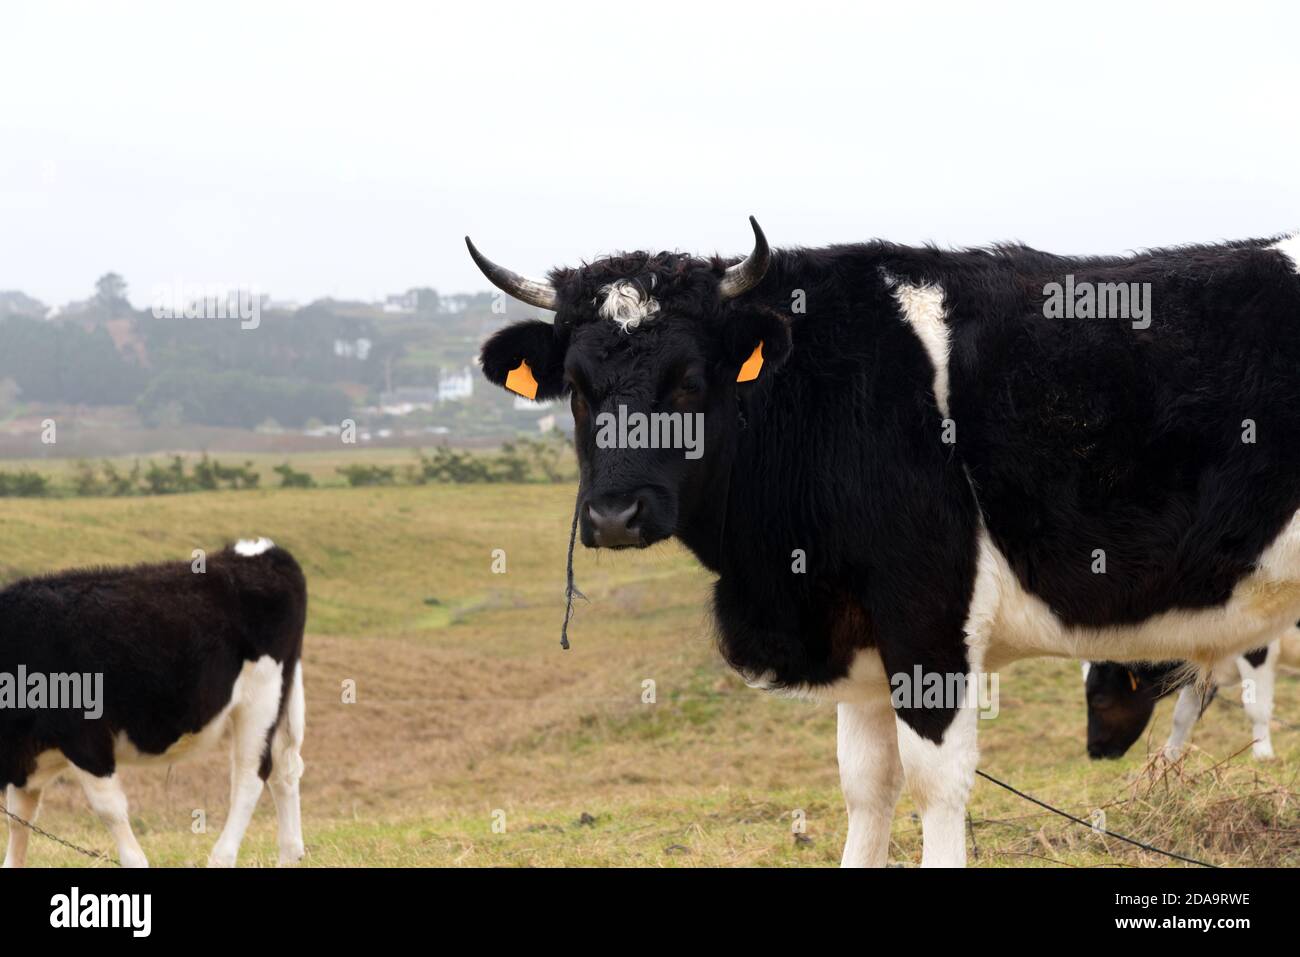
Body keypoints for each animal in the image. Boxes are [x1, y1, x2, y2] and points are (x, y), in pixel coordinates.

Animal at [1, 539, 306, 868]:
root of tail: (262, 551)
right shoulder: (26, 761)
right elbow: (19, 818)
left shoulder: (85, 738)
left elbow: (109, 808)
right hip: (281, 699)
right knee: (284, 768)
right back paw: (290, 855)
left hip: (261, 697)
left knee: (250, 776)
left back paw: (222, 857)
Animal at [1082, 638, 1281, 760]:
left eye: (1099, 699)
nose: (1093, 750)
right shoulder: (1202, 672)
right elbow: (1182, 715)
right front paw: (1168, 757)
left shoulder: (1256, 651)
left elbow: (1256, 709)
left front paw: (1262, 754)